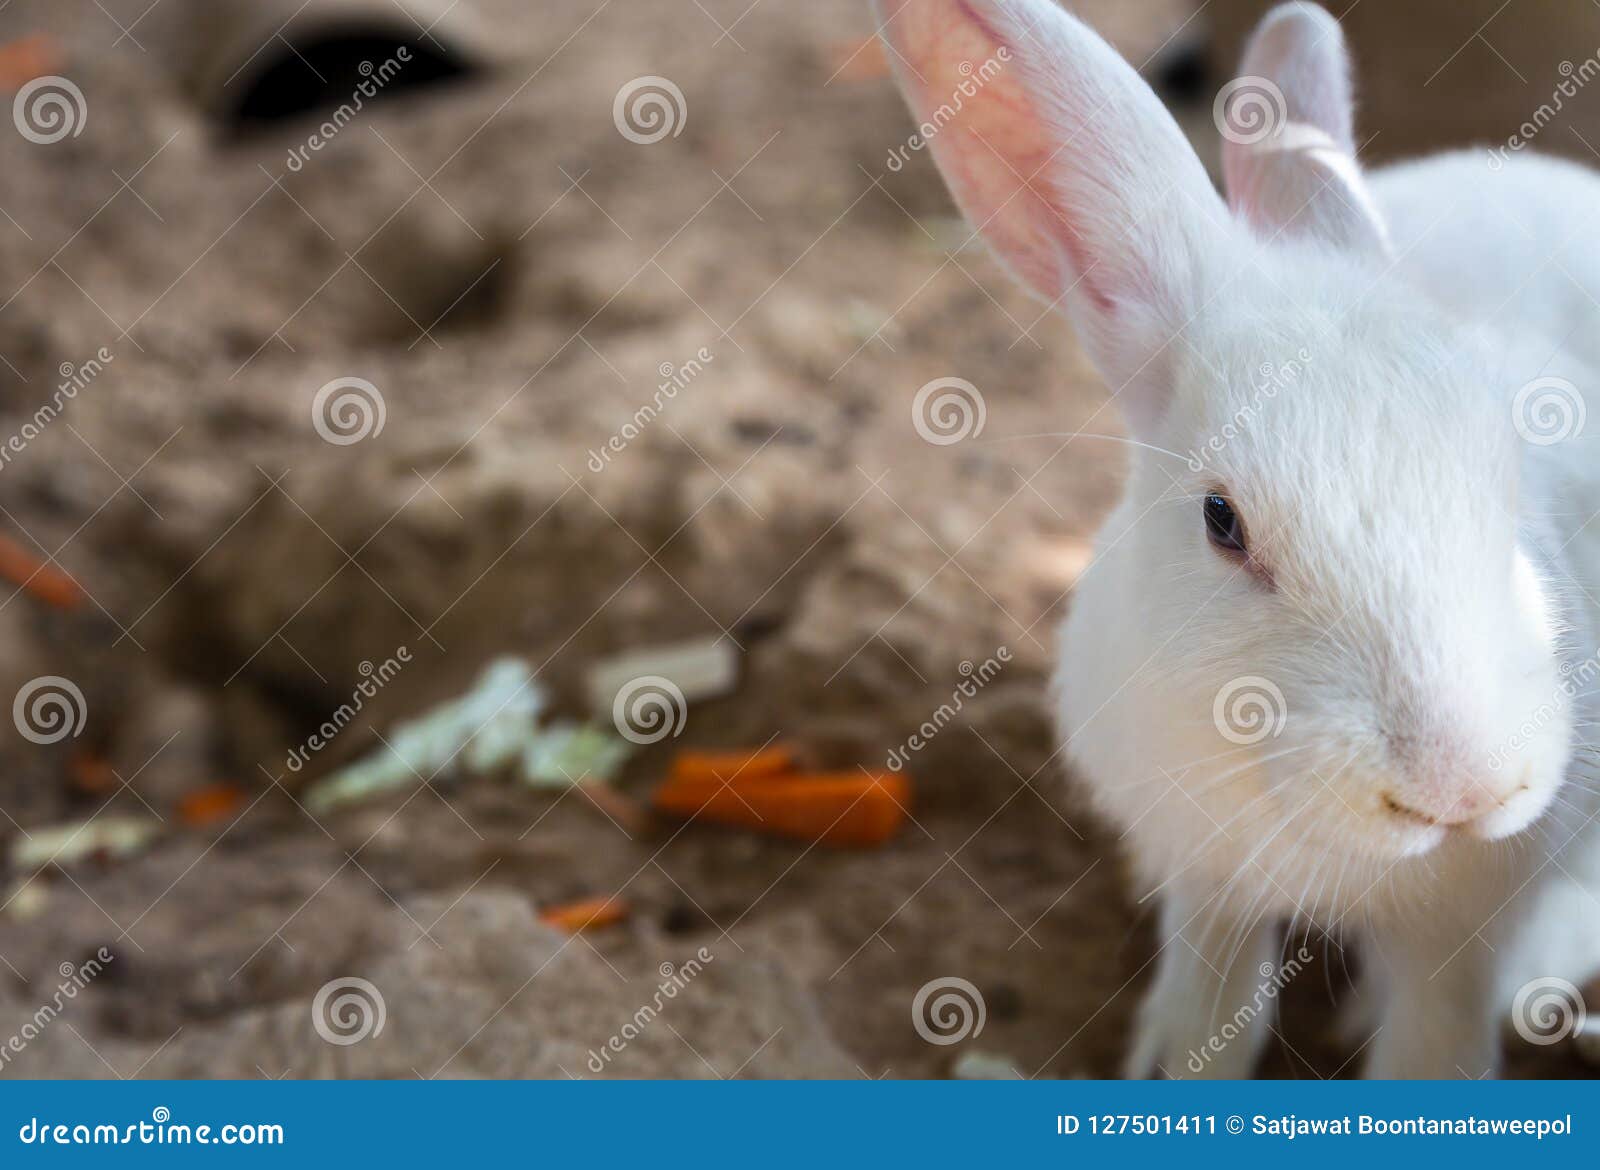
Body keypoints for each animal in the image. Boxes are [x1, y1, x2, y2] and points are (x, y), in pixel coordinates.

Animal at [875, 0, 1600, 1078]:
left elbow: (1435, 1040)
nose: (1463, 783)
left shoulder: (1461, 937)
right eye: (1223, 521)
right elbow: (1212, 988)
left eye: (1508, 468)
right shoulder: (1202, 876)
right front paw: (1169, 1067)